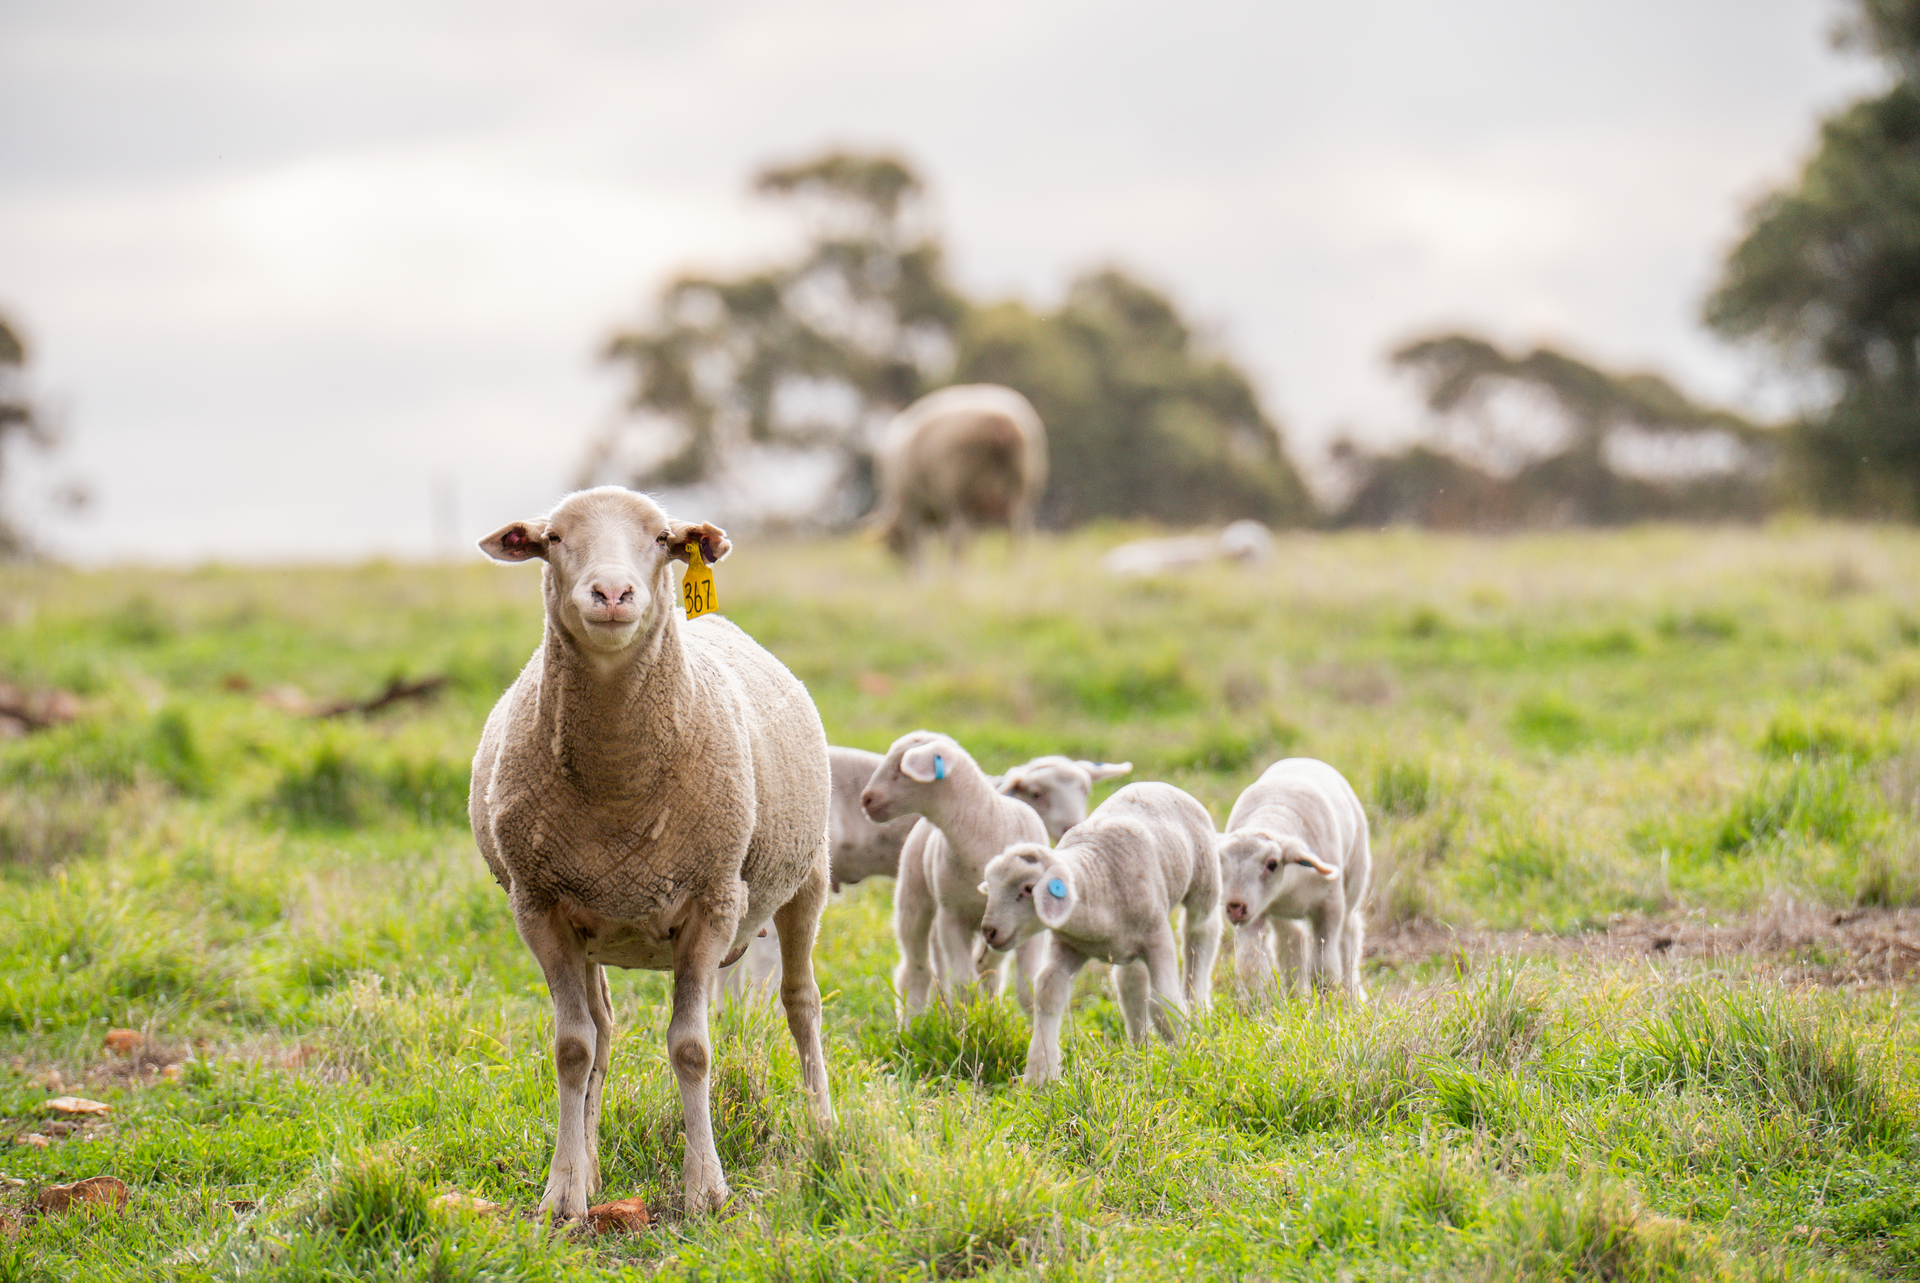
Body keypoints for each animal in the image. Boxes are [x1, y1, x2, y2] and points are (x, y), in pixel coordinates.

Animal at [468, 486, 833, 1220]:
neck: (618, 790)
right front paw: (563, 1192)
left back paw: (824, 1128)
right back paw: (589, 1167)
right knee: (603, 1027)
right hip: (589, 922)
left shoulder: (713, 899)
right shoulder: (538, 905)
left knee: (801, 1001)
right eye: (553, 539)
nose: (612, 592)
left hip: (806, 875)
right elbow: (573, 1048)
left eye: (663, 539)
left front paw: (705, 1189)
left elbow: (691, 1048)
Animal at [860, 730, 1049, 1016]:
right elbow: (963, 982)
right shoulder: (952, 916)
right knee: (916, 970)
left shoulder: (1022, 923)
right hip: (914, 901)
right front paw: (970, 1017)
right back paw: (912, 1019)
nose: (866, 800)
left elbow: (1025, 985)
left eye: (900, 767)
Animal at [869, 384, 1049, 561]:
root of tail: (1002, 425)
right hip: (1021, 490)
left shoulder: (912, 506)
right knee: (1018, 533)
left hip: (955, 490)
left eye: (893, 544)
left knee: (958, 535)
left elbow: (917, 546)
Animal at [977, 782, 1221, 1085]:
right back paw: (1139, 1048)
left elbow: (1163, 1003)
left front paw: (1183, 1055)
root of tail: (1155, 783)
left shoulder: (1158, 937)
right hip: (1128, 947)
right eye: (991, 888)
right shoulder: (1067, 944)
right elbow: (1046, 993)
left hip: (1204, 883)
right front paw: (1039, 1075)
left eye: (1028, 889)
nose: (989, 931)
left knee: (1200, 937)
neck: (1098, 880)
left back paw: (1197, 1010)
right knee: (1131, 983)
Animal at [1215, 757, 1371, 1001]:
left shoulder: (1331, 904)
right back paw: (1297, 994)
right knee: (1291, 941)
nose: (1235, 906)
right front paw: (1258, 1004)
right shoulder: (1255, 913)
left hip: (1355, 879)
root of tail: (1303, 759)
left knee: (1349, 934)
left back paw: (1352, 993)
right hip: (1279, 914)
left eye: (1272, 864)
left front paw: (1326, 996)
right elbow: (1251, 964)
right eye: (1220, 862)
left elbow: (1324, 964)